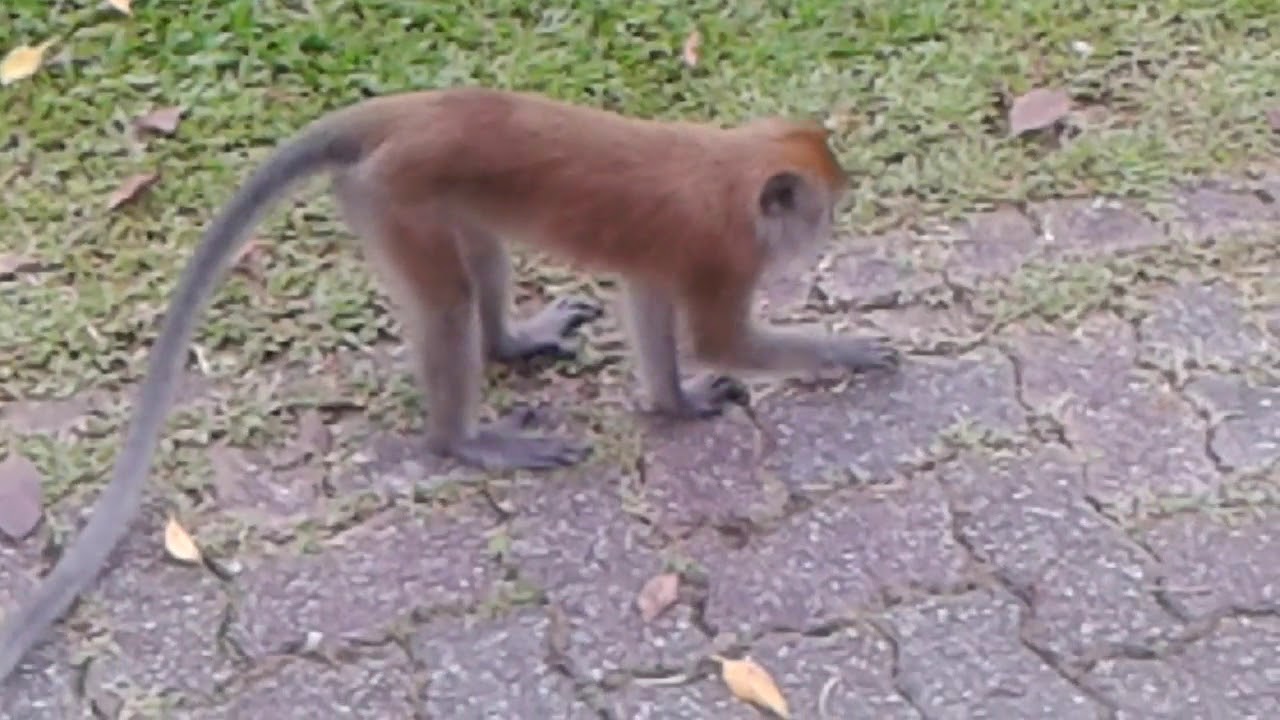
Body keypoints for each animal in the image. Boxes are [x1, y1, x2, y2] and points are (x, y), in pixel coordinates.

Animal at [0, 87, 899, 682]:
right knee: (448, 302)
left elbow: (649, 296)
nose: (828, 230)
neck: (731, 166)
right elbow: (720, 338)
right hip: (392, 198)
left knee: (480, 256)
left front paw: (670, 402)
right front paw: (844, 355)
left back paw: (508, 343)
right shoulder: (723, 253)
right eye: (822, 210)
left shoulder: (681, 254)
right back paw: (461, 440)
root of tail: (402, 114)